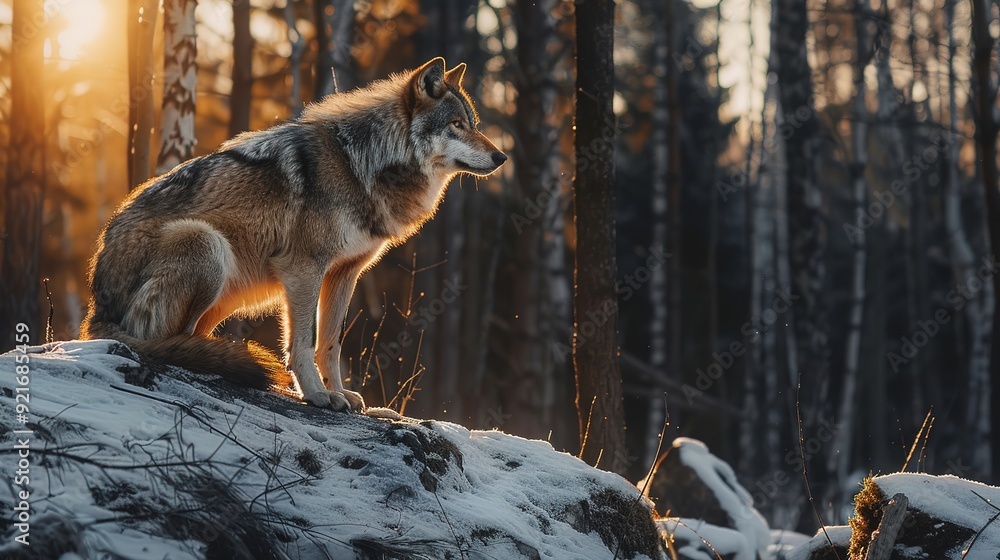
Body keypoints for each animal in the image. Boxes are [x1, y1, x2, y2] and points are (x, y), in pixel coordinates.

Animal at [81, 58, 506, 411]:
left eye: (474, 124)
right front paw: (317, 394)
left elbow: (330, 344)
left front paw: (340, 393)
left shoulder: (345, 273)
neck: (363, 163)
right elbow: (303, 342)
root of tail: (96, 310)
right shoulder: (303, 270)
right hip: (208, 244)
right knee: (169, 341)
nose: (502, 157)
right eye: (457, 125)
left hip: (229, 288)